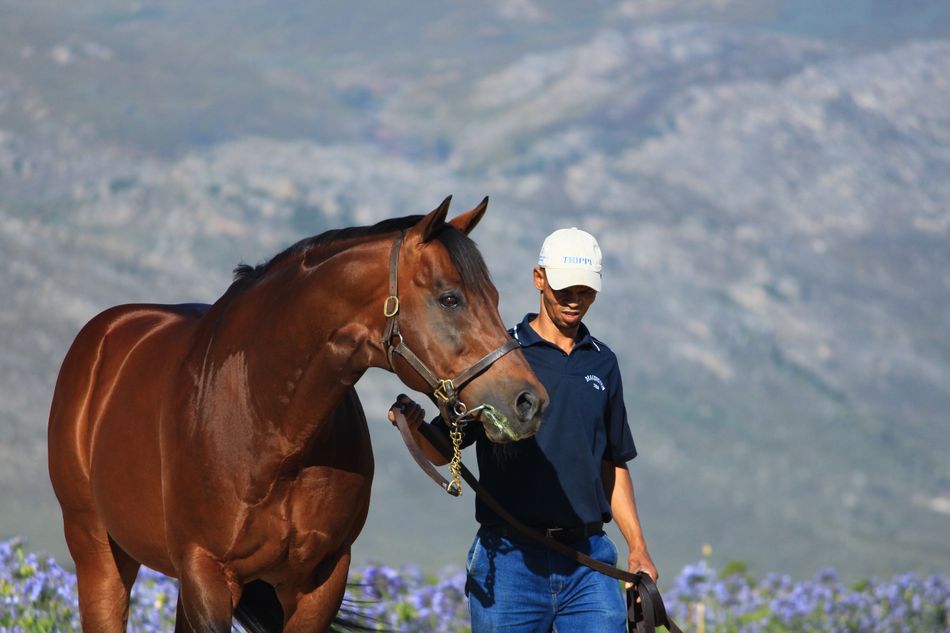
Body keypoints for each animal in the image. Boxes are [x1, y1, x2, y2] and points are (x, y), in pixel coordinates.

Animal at [47, 197, 548, 633]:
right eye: (450, 298)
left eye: (494, 296)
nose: (529, 401)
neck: (270, 427)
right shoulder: (206, 572)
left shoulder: (320, 578)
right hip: (97, 549)